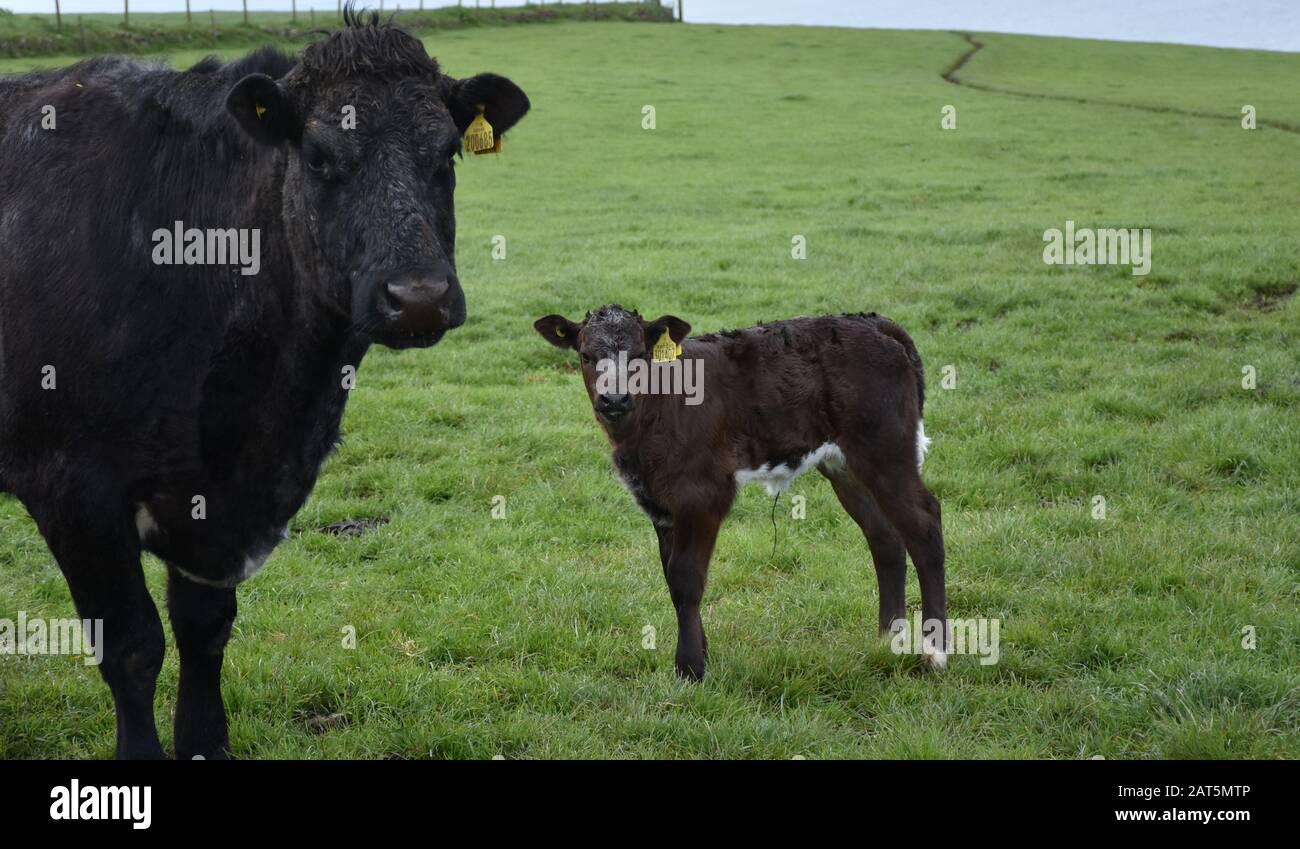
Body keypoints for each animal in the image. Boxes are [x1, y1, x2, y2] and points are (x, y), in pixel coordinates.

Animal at [0, 8, 529, 758]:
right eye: (317, 156)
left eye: (448, 154)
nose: (419, 298)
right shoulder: (71, 485)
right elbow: (131, 645)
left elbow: (205, 626)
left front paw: (204, 741)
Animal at [534, 306, 947, 680]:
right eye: (586, 356)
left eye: (639, 355)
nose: (615, 400)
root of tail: (873, 321)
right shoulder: (660, 504)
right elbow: (670, 577)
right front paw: (700, 652)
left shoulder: (701, 493)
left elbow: (685, 577)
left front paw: (689, 668)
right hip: (845, 464)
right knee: (885, 538)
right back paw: (887, 640)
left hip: (886, 449)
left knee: (924, 526)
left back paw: (935, 653)